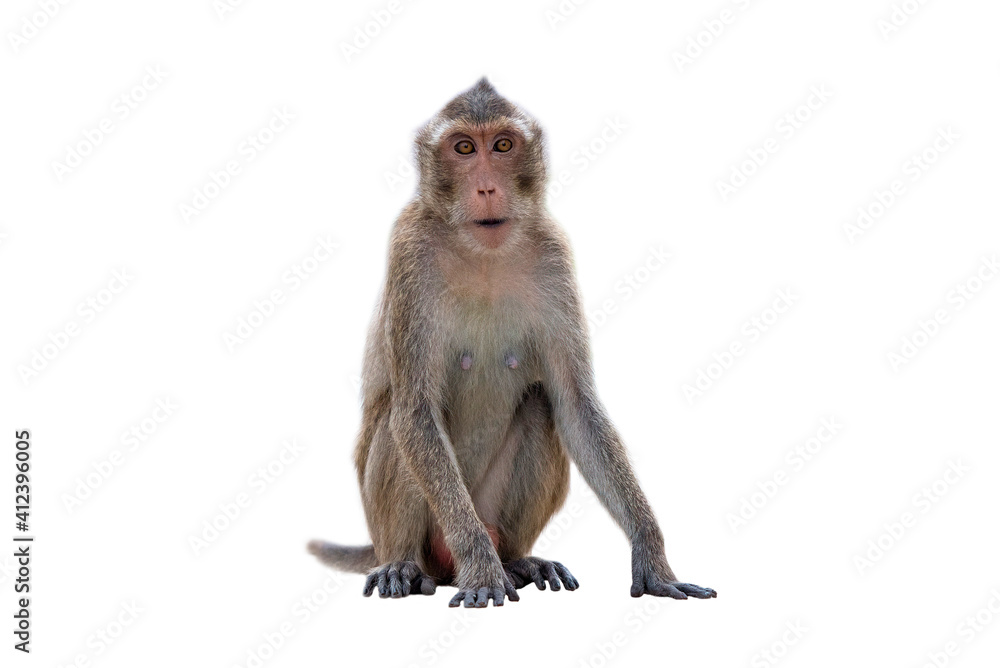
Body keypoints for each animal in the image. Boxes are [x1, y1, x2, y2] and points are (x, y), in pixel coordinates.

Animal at [308, 78, 716, 608]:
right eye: (464, 148)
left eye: (502, 146)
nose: (486, 188)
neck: (483, 252)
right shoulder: (408, 248)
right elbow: (415, 412)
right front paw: (481, 568)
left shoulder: (554, 253)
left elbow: (575, 404)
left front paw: (652, 553)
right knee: (399, 418)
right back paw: (407, 565)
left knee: (542, 406)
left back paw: (518, 560)